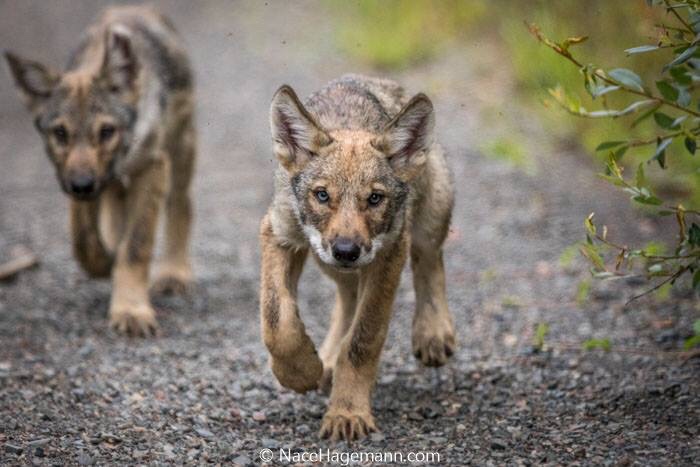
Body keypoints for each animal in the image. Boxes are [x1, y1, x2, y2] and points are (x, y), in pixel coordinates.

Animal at [5, 5, 196, 336]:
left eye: (107, 131)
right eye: (60, 134)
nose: (82, 185)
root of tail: (136, 7)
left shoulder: (152, 168)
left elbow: (135, 245)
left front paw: (131, 311)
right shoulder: (79, 180)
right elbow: (84, 240)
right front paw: (105, 262)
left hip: (180, 149)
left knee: (181, 205)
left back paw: (173, 273)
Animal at [261, 74, 456, 441]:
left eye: (375, 198)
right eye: (322, 195)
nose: (347, 251)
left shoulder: (389, 255)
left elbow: (362, 340)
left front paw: (347, 413)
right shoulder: (280, 234)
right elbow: (278, 322)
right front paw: (301, 372)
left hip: (429, 218)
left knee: (429, 261)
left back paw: (433, 333)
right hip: (327, 263)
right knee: (346, 300)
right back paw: (325, 363)